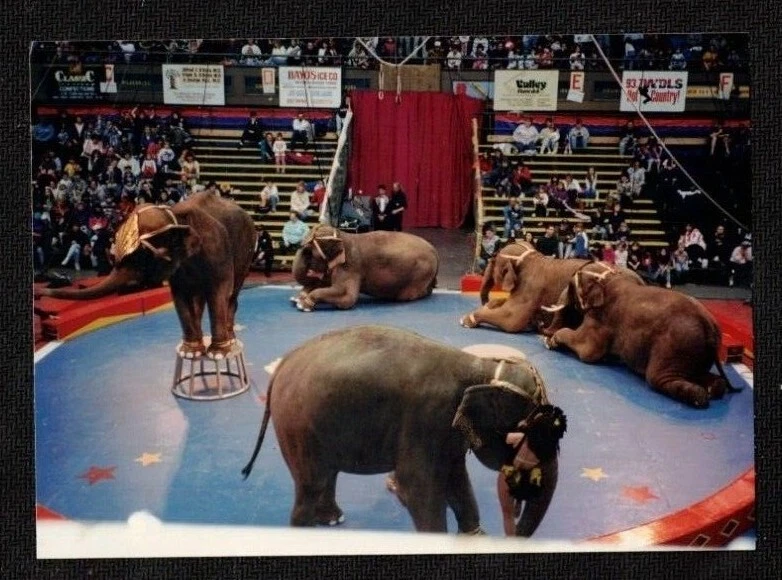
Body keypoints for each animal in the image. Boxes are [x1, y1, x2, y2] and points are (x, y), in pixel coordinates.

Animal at [34, 193, 257, 360]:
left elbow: (219, 291)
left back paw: (230, 339)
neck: (174, 215)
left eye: (142, 258)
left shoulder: (217, 249)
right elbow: (181, 296)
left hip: (245, 247)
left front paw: (218, 354)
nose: (39, 293)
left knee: (232, 293)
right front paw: (191, 353)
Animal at [242, 325, 567, 537]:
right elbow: (418, 487)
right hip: (297, 426)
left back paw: (332, 519)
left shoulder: (448, 432)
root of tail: (283, 364)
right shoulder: (426, 418)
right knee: (311, 483)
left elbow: (456, 478)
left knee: (326, 475)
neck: (479, 367)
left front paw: (475, 537)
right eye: (519, 434)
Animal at [289, 225, 438, 312]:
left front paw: (304, 304)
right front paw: (297, 298)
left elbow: (347, 297)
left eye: (308, 252)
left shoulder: (351, 265)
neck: (342, 235)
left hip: (422, 271)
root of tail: (435, 252)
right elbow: (325, 282)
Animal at [460, 240, 641, 334]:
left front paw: (467, 319)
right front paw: (490, 306)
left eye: (493, 261)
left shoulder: (531, 288)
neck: (533, 258)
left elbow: (511, 320)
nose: (484, 302)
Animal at [542, 268, 741, 408]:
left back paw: (699, 397)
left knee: (657, 378)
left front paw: (552, 342)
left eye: (570, 286)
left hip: (675, 346)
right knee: (706, 377)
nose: (543, 331)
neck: (608, 277)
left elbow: (588, 353)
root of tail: (709, 325)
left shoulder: (600, 319)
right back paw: (713, 389)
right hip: (696, 352)